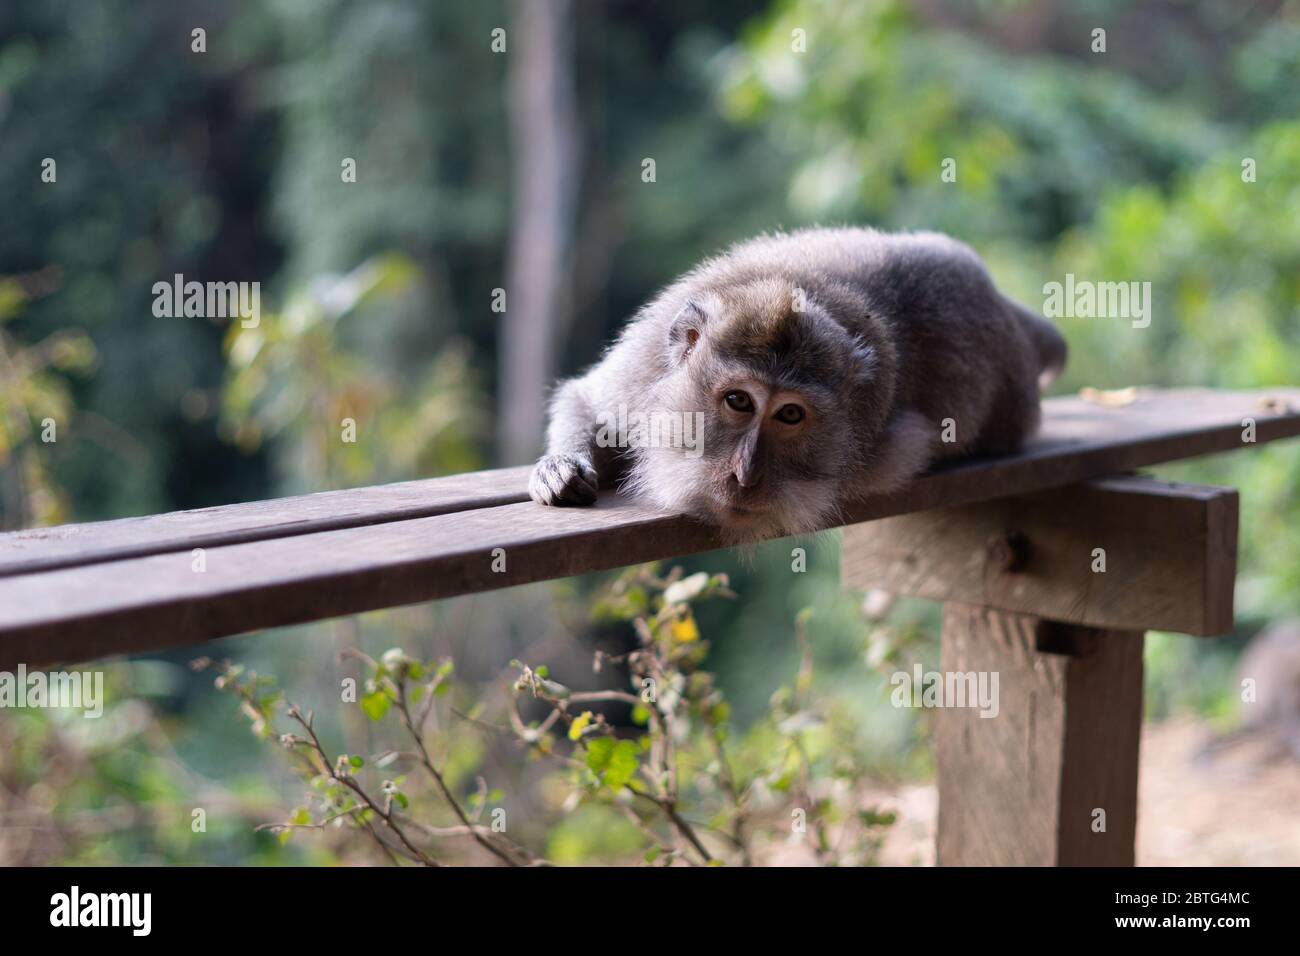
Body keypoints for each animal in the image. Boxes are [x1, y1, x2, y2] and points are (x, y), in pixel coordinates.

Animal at [529, 226, 1066, 545]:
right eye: (738, 400)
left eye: (789, 414)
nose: (745, 475)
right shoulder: (644, 366)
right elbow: (588, 401)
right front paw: (560, 469)